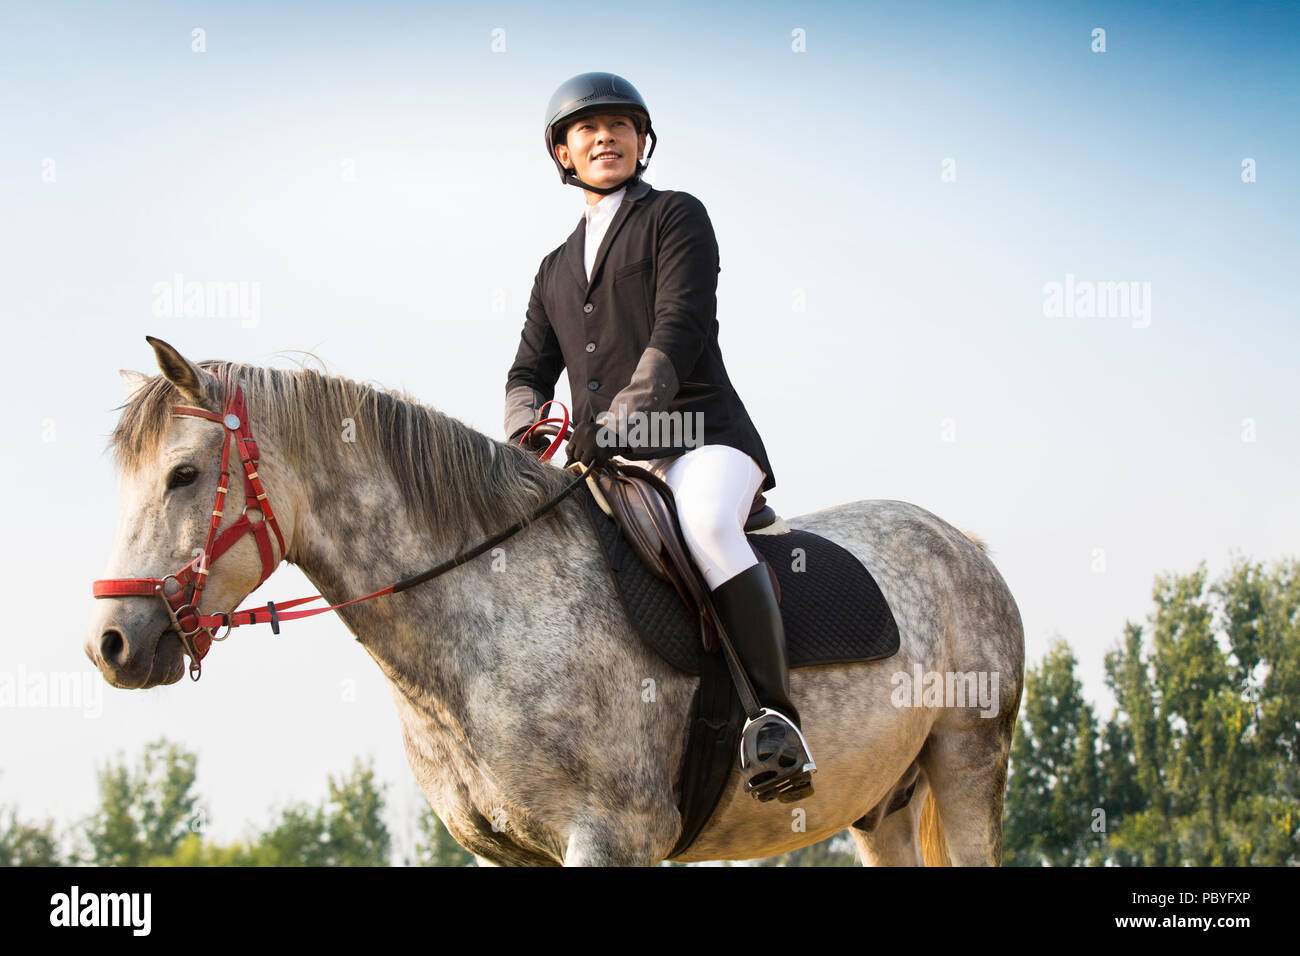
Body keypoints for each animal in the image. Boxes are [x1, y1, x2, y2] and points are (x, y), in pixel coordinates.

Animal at [86, 336, 1025, 866]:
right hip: (879, 806)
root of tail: (962, 545)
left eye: (183, 475)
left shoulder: (608, 839)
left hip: (967, 762)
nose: (112, 644)